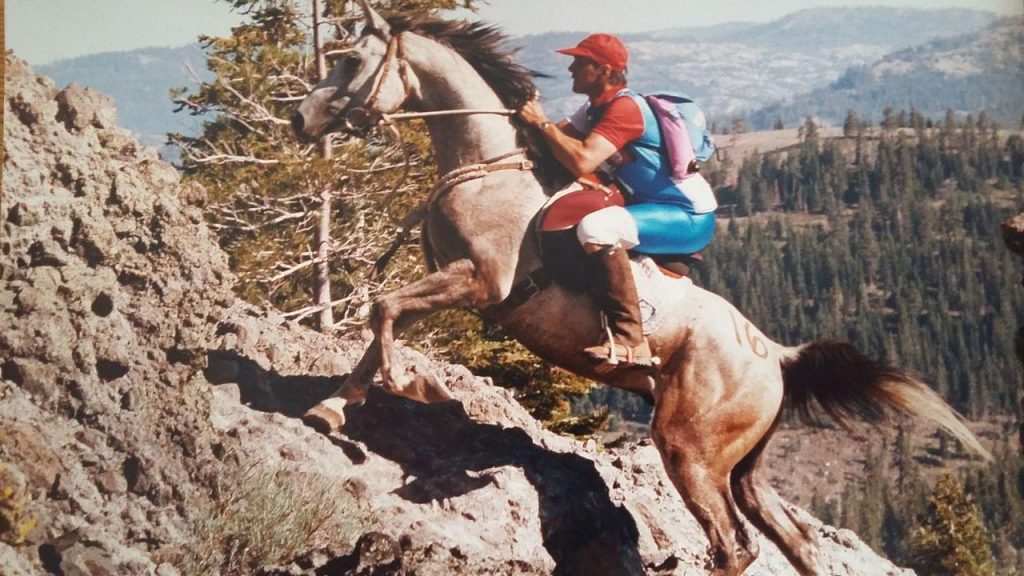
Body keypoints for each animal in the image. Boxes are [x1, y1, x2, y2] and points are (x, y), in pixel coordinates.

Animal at [291, 4, 990, 575]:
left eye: (349, 60)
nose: (301, 117)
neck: (487, 166)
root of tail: (775, 355)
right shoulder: (453, 283)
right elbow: (382, 321)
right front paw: (333, 407)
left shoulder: (480, 282)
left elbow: (382, 310)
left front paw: (415, 386)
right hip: (744, 465)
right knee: (794, 539)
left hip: (689, 449)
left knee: (733, 546)